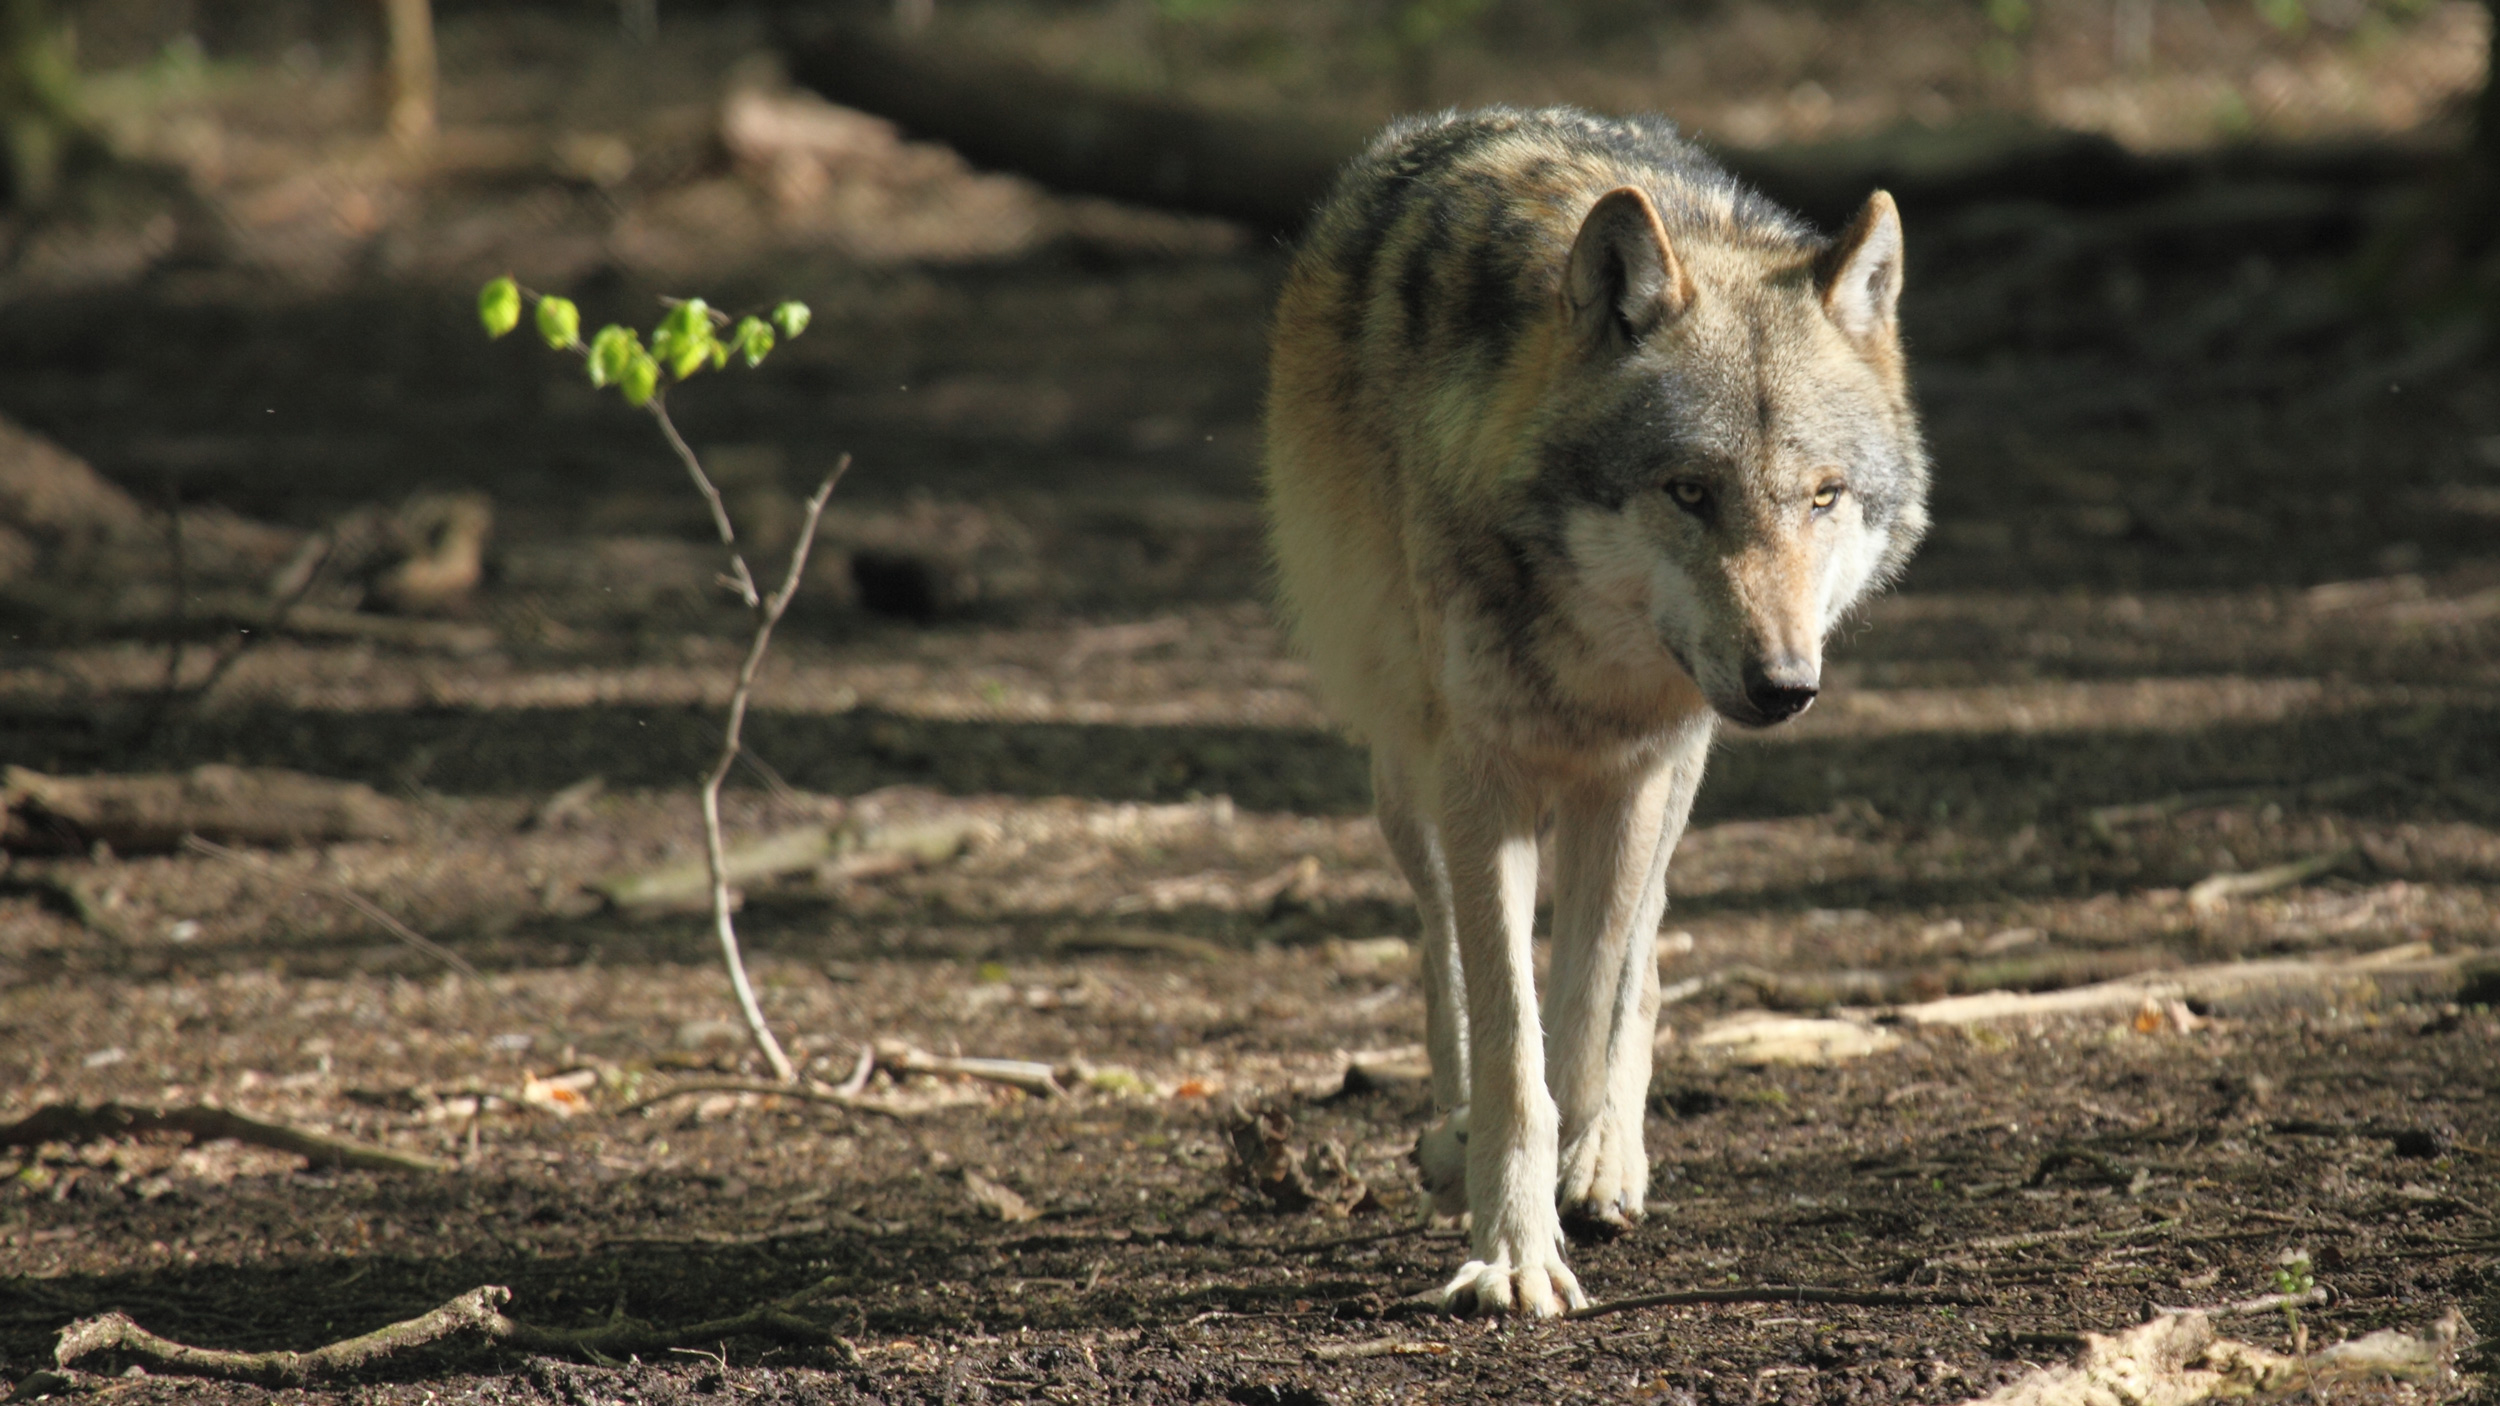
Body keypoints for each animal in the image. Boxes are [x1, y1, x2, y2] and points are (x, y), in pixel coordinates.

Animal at [1264, 107, 1928, 1316]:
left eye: (1823, 495)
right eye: (1688, 491)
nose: (1784, 685)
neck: (1589, 658)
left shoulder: (1635, 771)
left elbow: (1584, 1014)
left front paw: (1574, 1176)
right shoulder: (1480, 783)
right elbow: (1508, 1038)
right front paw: (1511, 1252)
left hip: (1674, 776)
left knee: (1641, 964)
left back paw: (1607, 1157)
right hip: (1405, 770)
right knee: (1442, 951)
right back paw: (1454, 1137)